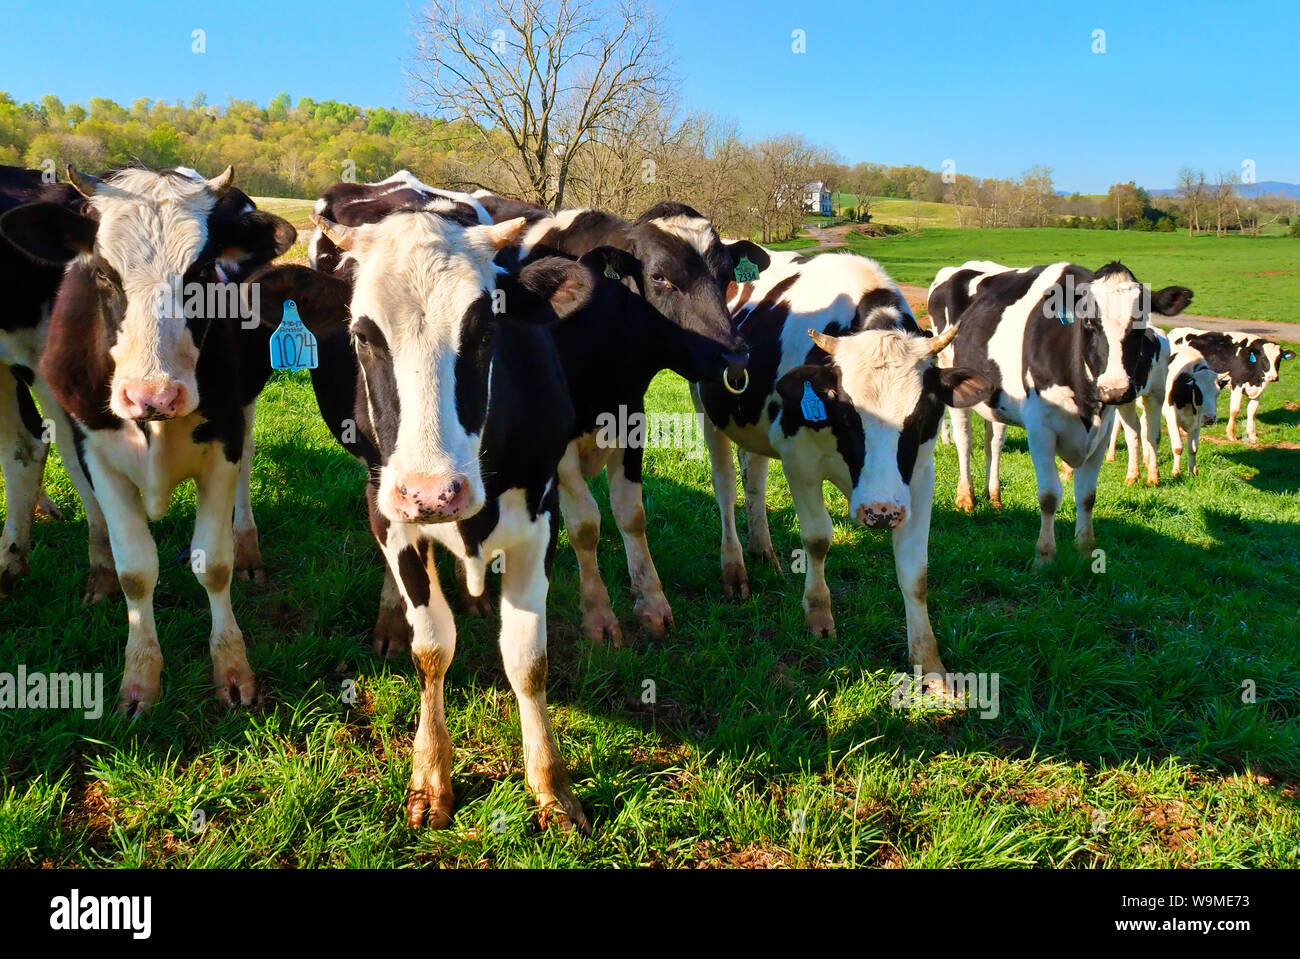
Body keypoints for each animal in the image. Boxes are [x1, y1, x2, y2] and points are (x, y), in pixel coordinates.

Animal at [0, 165, 296, 714]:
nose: (152, 395)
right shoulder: (99, 453)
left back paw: (248, 547)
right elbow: (135, 570)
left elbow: (213, 564)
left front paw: (232, 669)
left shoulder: (223, 444)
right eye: (102, 272)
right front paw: (139, 679)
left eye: (202, 272)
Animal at [248, 196, 595, 833]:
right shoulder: (391, 510)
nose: (434, 494)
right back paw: (393, 616)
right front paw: (431, 776)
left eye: (485, 332)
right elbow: (432, 647)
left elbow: (528, 660)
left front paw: (552, 786)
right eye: (362, 336)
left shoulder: (542, 514)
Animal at [693, 249, 992, 680]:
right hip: (708, 412)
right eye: (849, 413)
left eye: (922, 416)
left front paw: (929, 663)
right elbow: (818, 539)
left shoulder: (918, 477)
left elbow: (915, 571)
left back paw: (763, 549)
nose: (880, 513)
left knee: (754, 480)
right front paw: (819, 617)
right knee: (725, 487)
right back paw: (735, 569)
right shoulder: (799, 460)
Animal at [926, 261, 1192, 562]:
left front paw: (1084, 549)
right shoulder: (1040, 429)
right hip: (951, 374)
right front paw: (1044, 556)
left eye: (1140, 325)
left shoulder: (1102, 431)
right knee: (965, 441)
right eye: (1088, 321)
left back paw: (993, 496)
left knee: (993, 443)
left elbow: (1087, 495)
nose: (1114, 390)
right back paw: (966, 498)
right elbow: (1049, 496)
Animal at [1162, 345, 1225, 477]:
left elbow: (1193, 448)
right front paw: (1176, 472)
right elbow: (1178, 447)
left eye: (1217, 393)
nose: (1210, 418)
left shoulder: (1197, 422)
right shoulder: (1171, 417)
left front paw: (1193, 471)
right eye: (1197, 391)